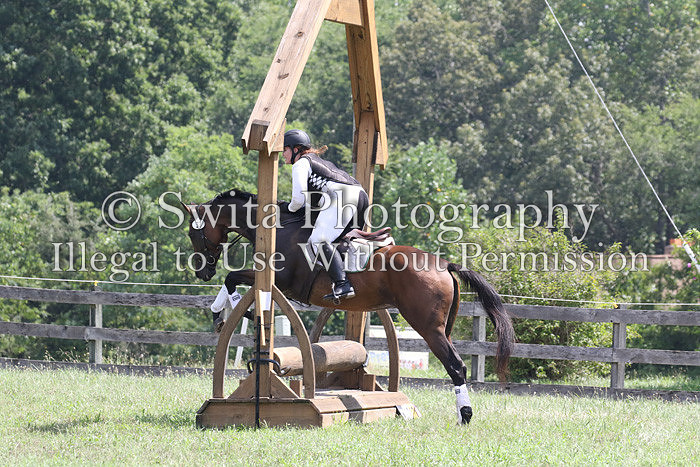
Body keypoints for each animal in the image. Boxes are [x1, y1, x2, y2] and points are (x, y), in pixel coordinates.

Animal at [182, 188, 515, 424]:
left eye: (191, 232)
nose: (202, 272)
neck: (278, 228)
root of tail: (445, 264)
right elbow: (234, 280)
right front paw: (231, 313)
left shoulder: (280, 280)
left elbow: (233, 278)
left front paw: (235, 313)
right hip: (442, 327)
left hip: (429, 327)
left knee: (456, 366)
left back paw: (464, 416)